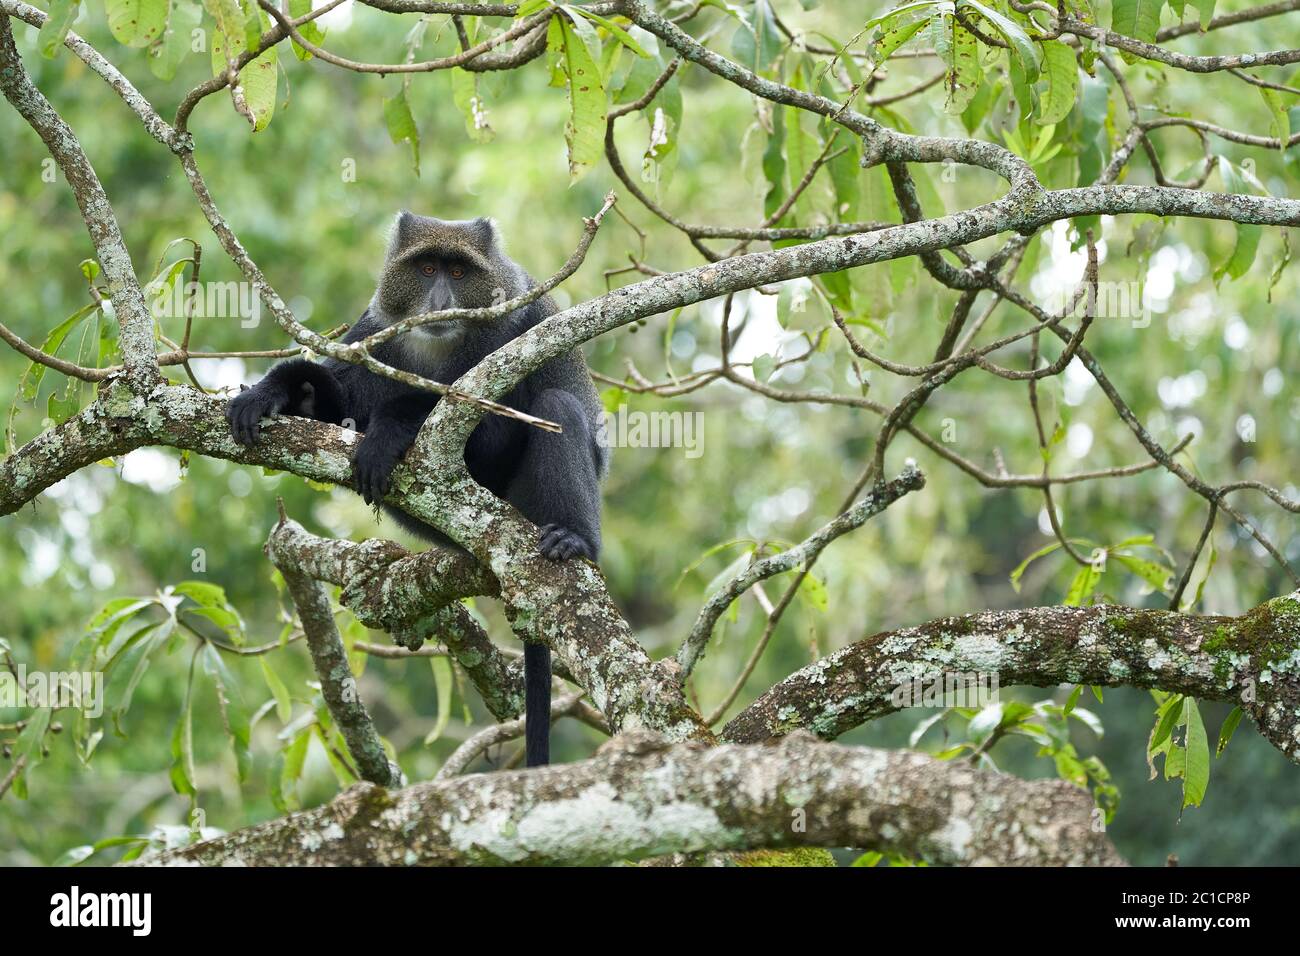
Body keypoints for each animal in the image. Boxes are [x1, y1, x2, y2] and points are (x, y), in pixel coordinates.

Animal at [225, 212, 608, 768]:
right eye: (427, 269)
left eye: (457, 271)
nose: (441, 299)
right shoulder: (373, 330)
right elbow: (340, 407)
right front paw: (284, 388)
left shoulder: (516, 330)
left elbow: (495, 424)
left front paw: (391, 428)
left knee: (556, 407)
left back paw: (574, 538)